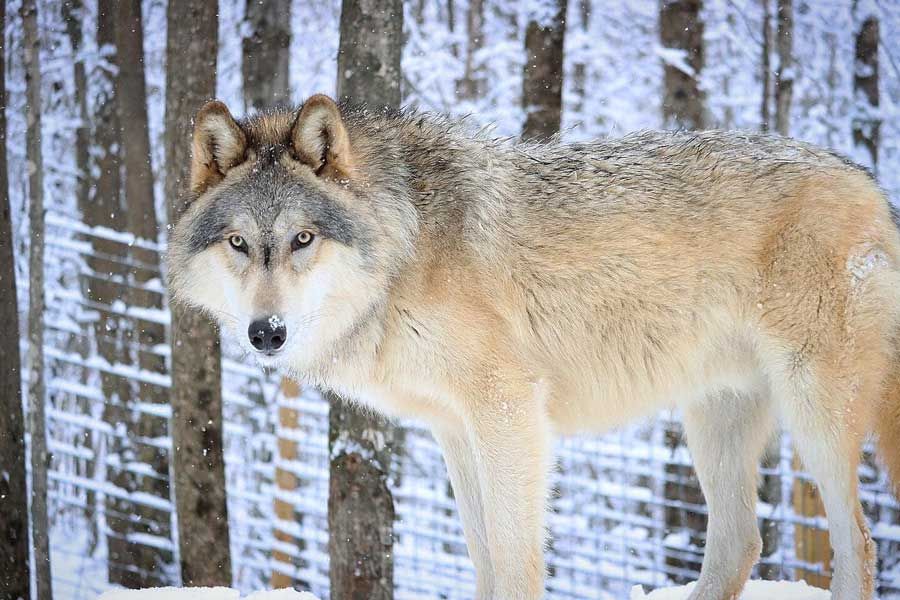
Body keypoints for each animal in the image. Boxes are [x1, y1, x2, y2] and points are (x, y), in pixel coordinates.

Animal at [167, 94, 900, 600]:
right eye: (238, 243)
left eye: (302, 239)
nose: (268, 332)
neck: (406, 248)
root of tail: (868, 182)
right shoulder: (454, 430)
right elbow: (484, 556)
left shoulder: (509, 412)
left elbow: (515, 561)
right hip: (711, 424)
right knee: (740, 544)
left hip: (815, 415)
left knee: (859, 546)